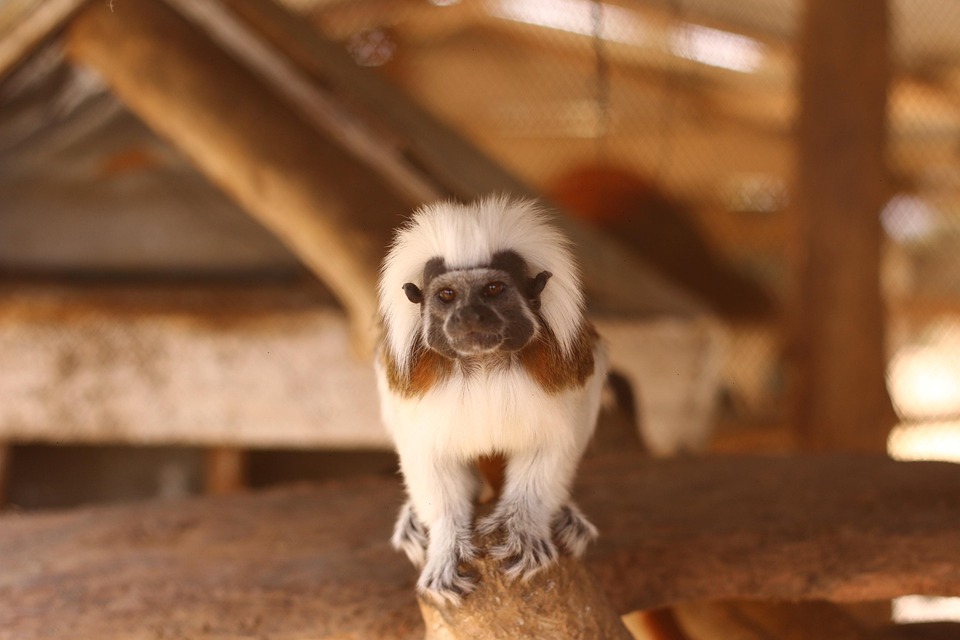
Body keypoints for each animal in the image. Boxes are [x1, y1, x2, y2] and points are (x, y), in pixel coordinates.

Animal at [374, 195, 607, 606]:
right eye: (447, 295)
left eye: (494, 289)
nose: (469, 315)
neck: (483, 363)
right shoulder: (408, 388)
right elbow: (431, 465)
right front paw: (446, 545)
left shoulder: (571, 370)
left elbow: (551, 450)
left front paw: (523, 528)